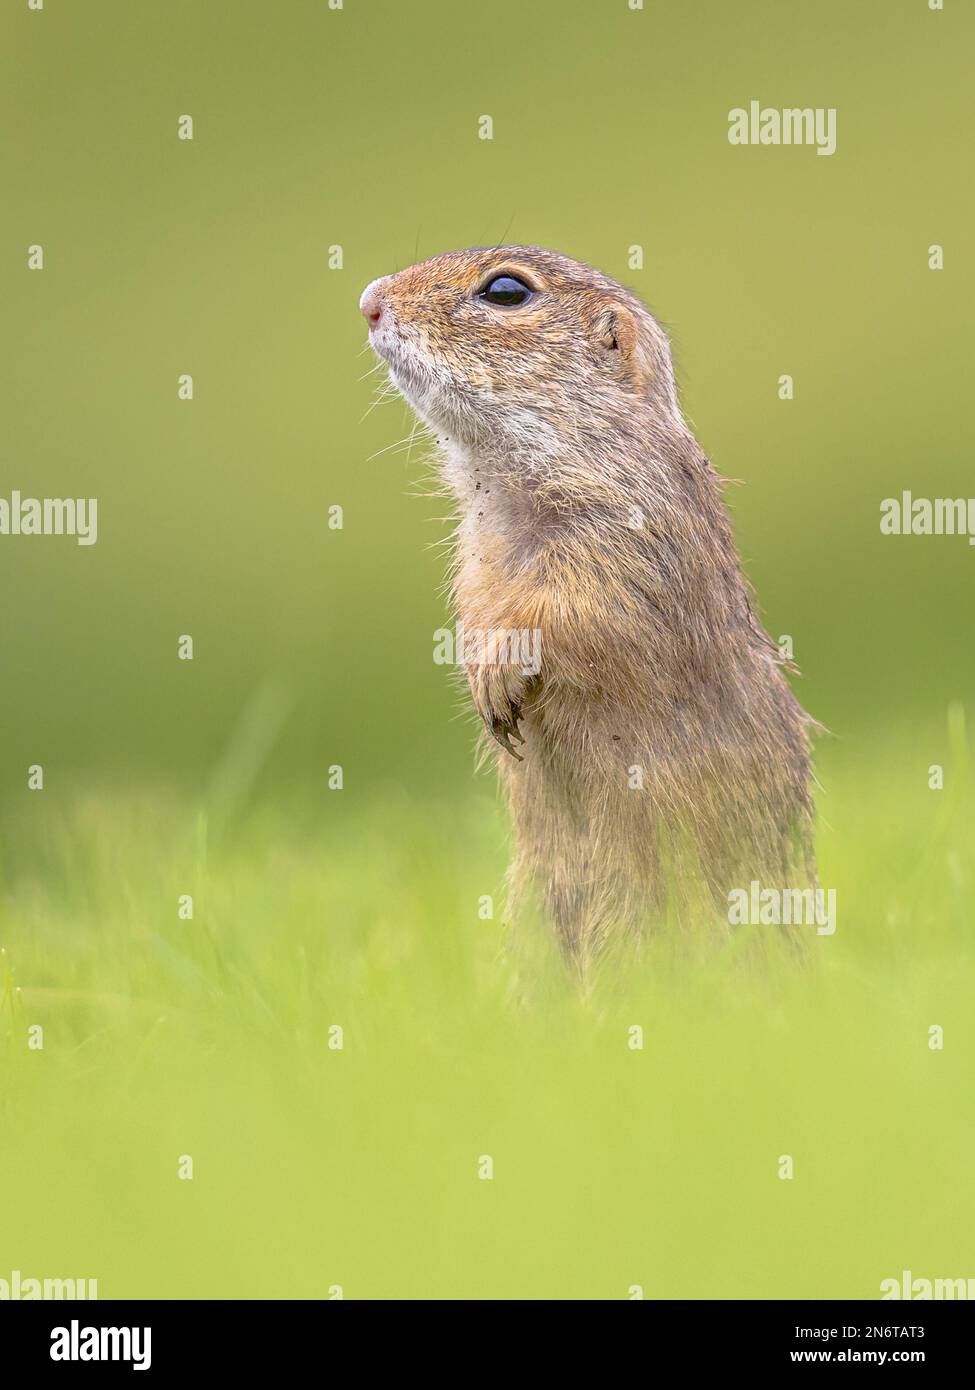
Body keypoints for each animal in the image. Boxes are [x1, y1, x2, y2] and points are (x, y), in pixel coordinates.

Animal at [361, 246, 816, 963]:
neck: (513, 491)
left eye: (506, 291)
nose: (368, 301)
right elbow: (476, 609)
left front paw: (498, 676)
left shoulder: (622, 540)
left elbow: (580, 618)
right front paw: (478, 675)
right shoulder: (477, 558)